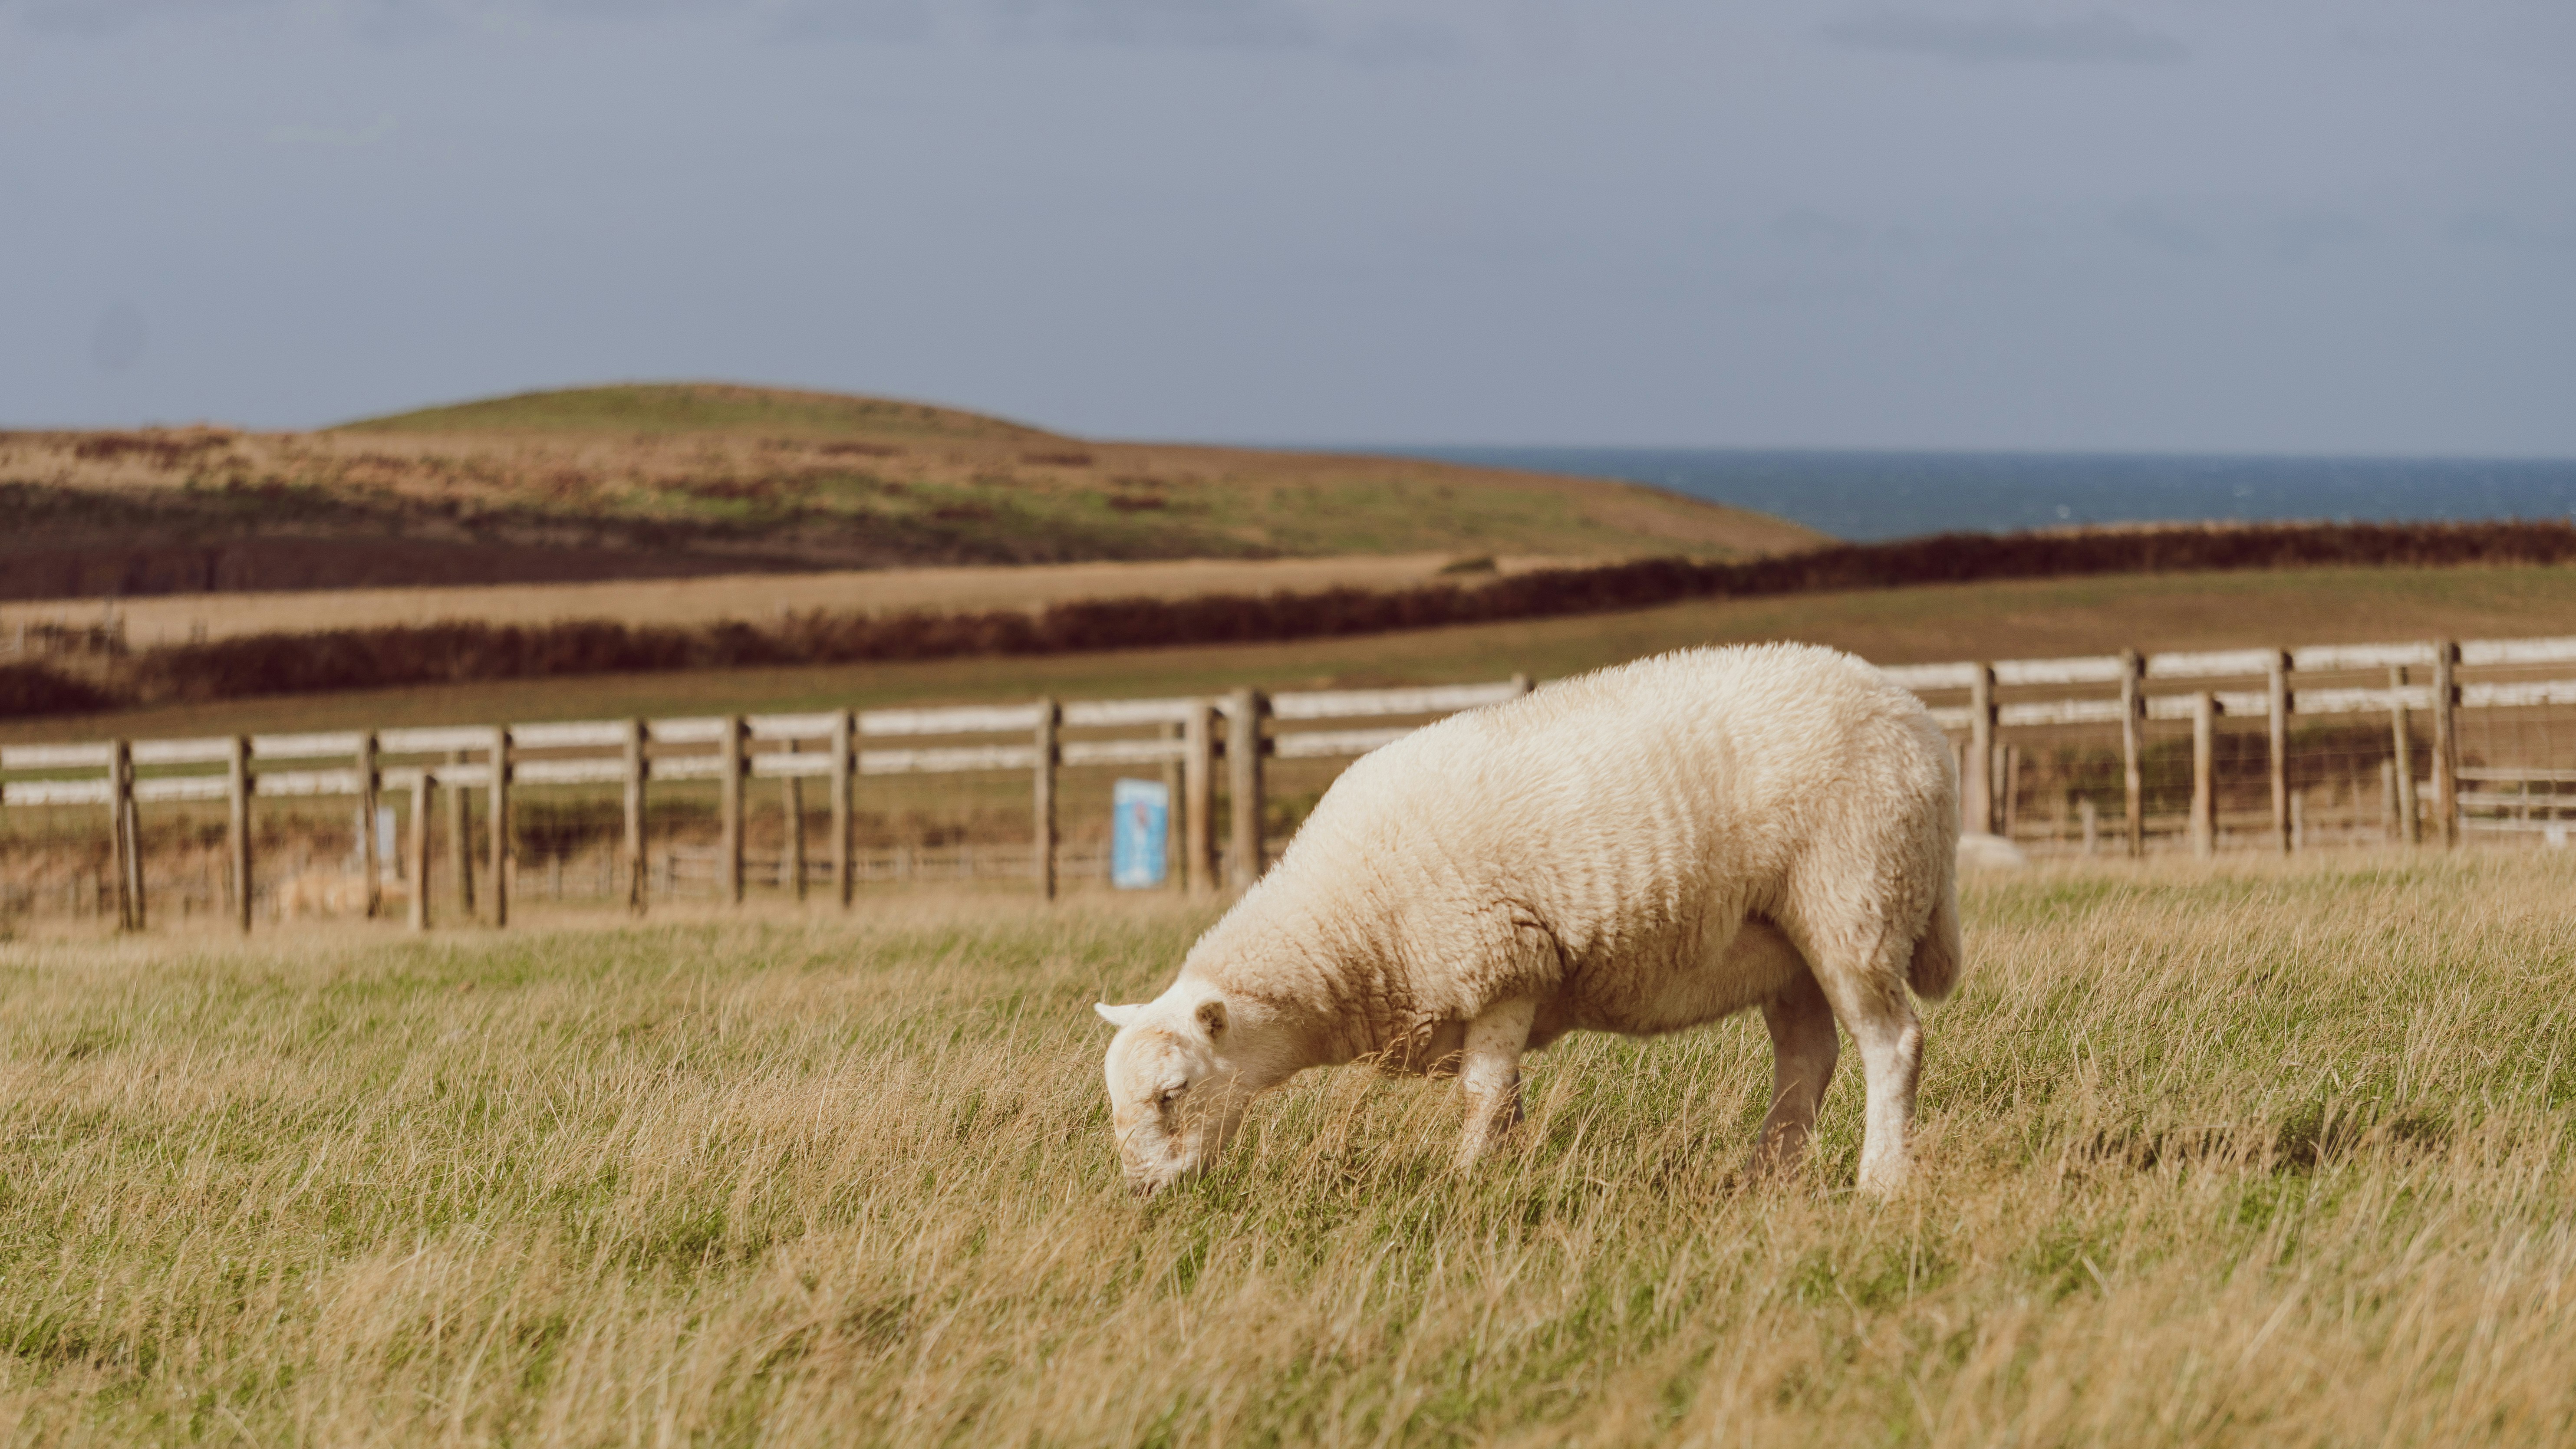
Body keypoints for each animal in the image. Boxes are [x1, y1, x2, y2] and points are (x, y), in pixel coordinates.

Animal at [1094, 642, 1964, 1197]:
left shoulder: (1500, 964)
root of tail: (1918, 719)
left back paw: (1879, 1181)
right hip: (1787, 937)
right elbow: (1504, 1097)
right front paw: (1503, 1171)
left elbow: (1482, 1091)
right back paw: (1768, 1175)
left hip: (1855, 893)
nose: (1141, 1190)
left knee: (1892, 1042)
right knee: (1807, 1056)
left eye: (1172, 1091)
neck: (1341, 930)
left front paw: (1464, 1180)